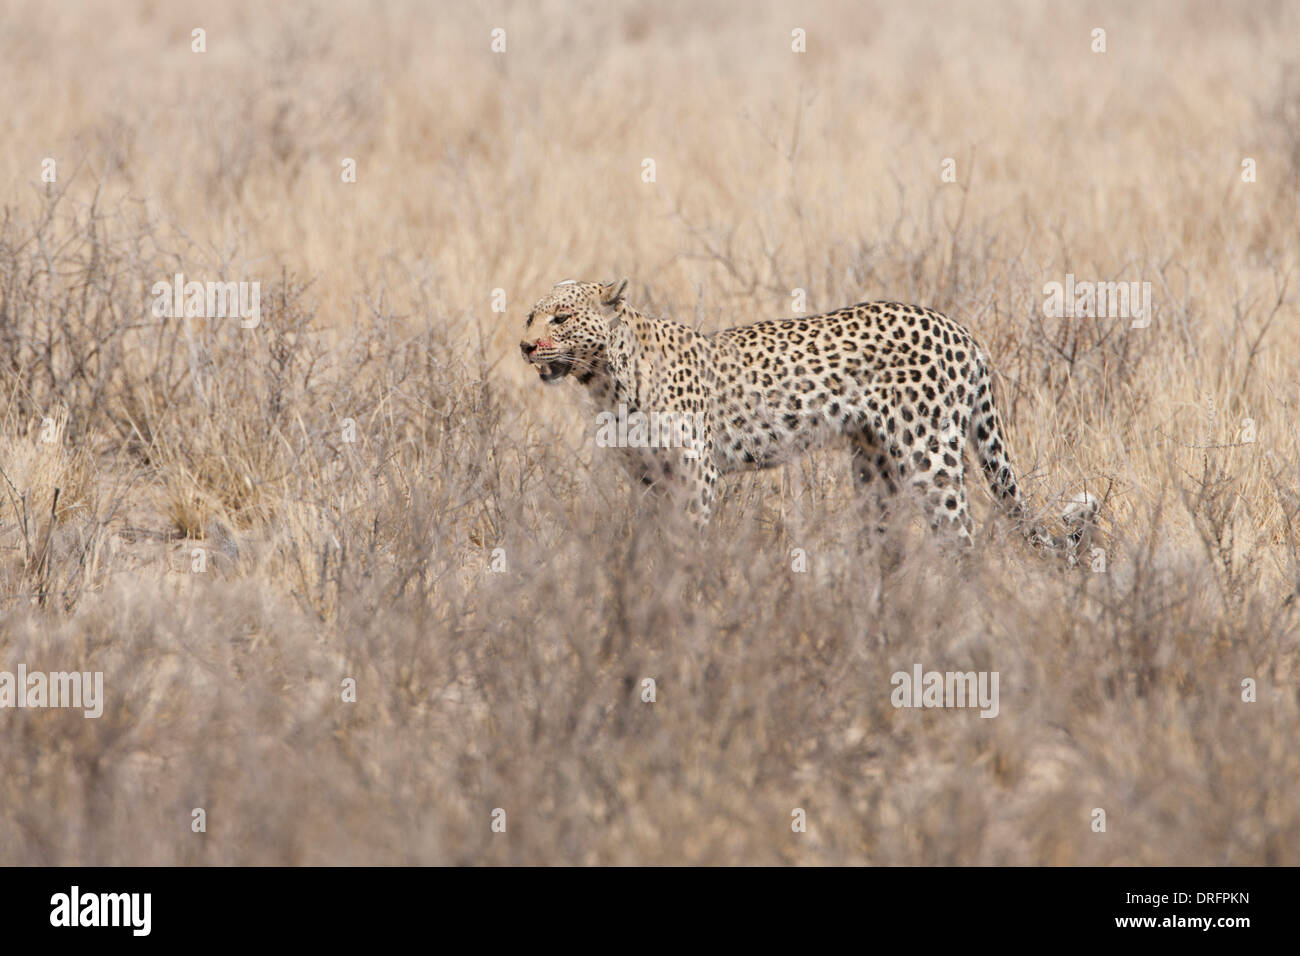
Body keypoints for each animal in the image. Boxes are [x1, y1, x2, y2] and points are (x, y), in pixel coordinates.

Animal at [519, 278, 1097, 553]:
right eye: (529, 316)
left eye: (561, 318)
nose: (525, 346)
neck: (606, 380)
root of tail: (959, 328)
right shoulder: (647, 479)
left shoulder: (695, 474)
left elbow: (690, 539)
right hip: (874, 468)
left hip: (929, 454)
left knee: (961, 536)